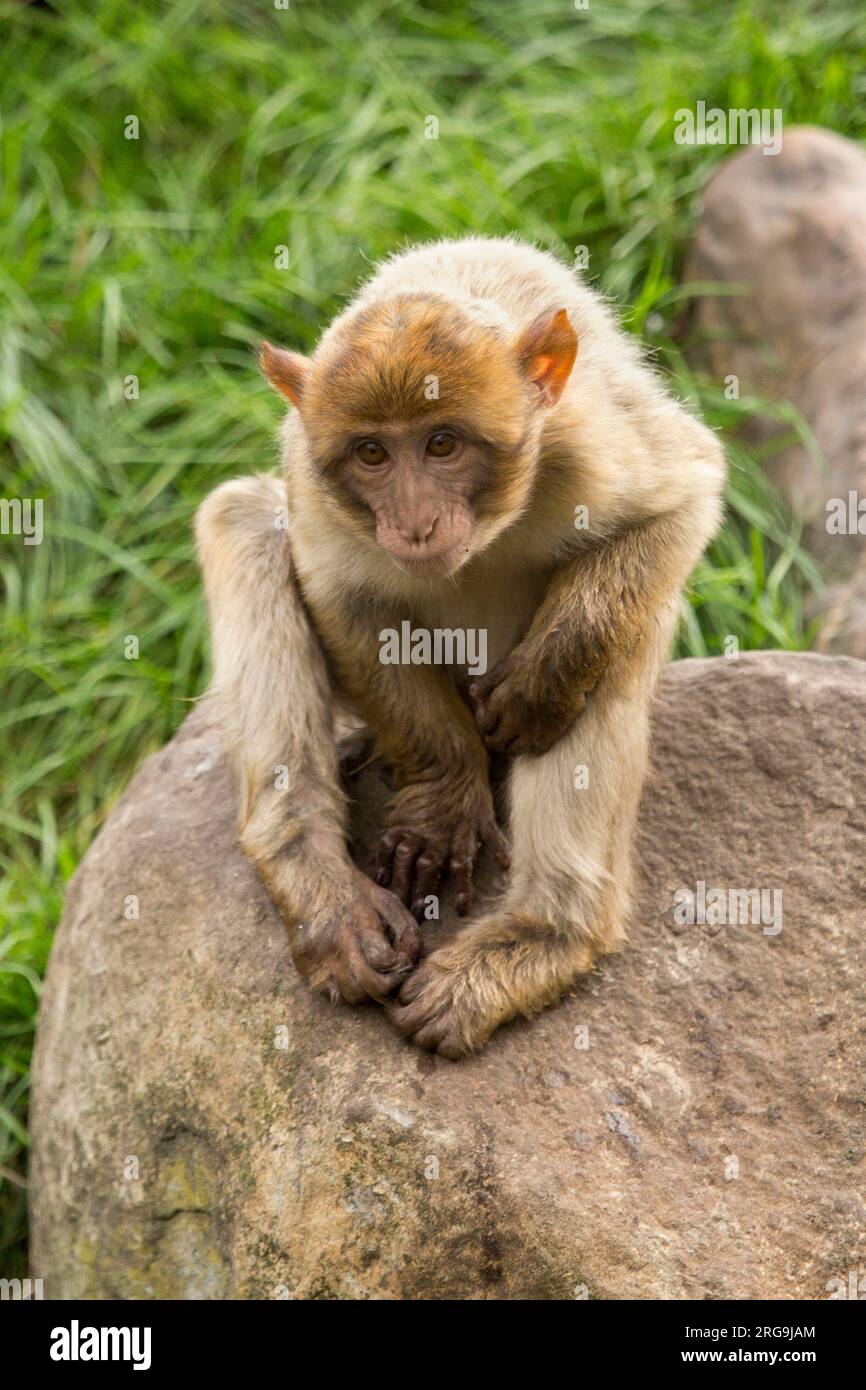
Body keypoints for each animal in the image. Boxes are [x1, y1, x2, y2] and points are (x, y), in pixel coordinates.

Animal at [195, 236, 725, 1057]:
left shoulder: (593, 439)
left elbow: (683, 499)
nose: (414, 524)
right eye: (373, 454)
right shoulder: (316, 490)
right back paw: (317, 883)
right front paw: (445, 791)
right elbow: (344, 600)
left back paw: (545, 935)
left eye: (441, 443)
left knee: (618, 649)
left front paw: (544, 681)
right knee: (245, 519)